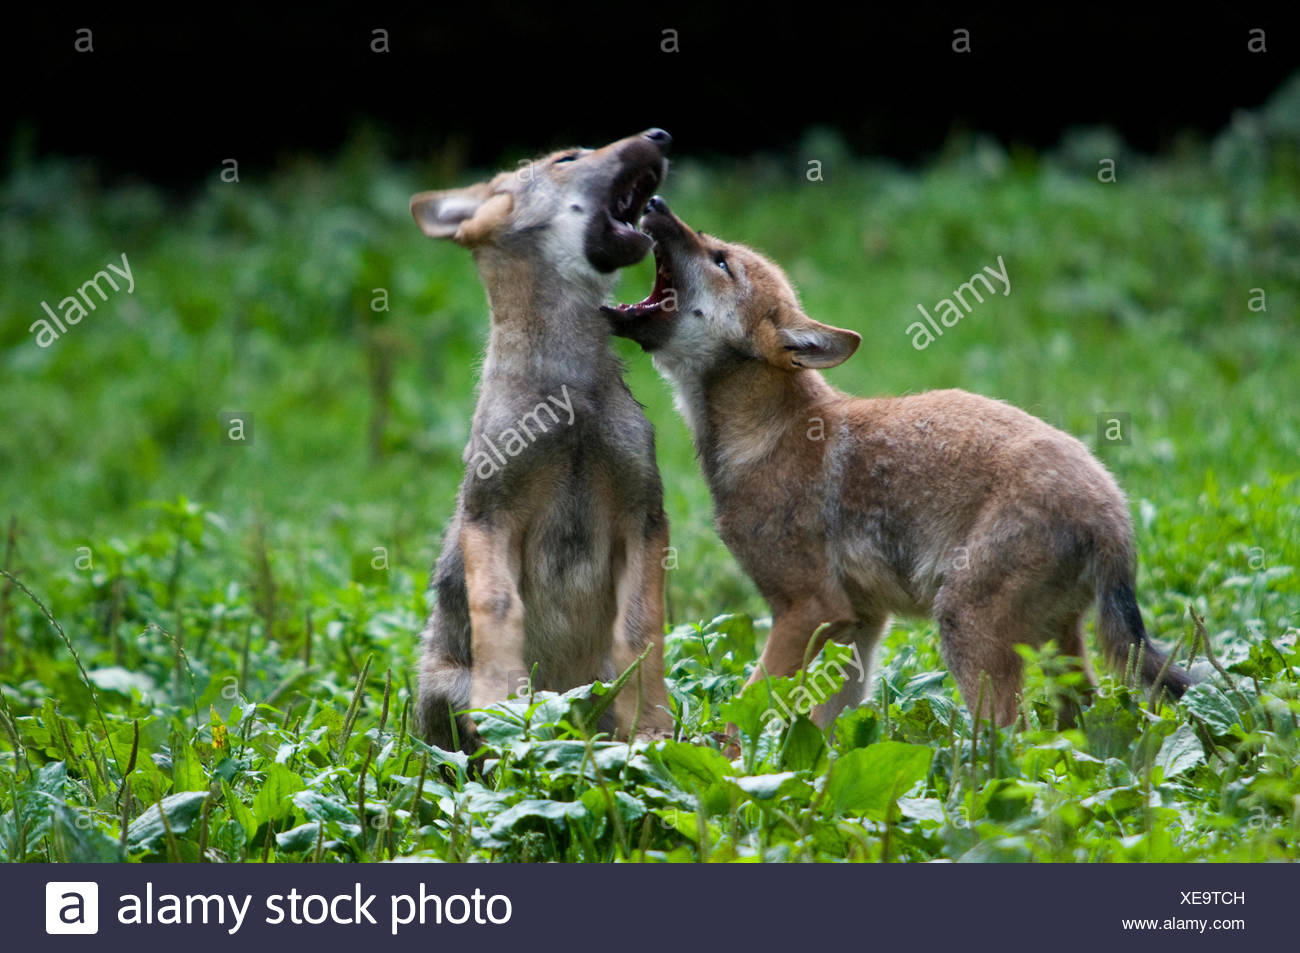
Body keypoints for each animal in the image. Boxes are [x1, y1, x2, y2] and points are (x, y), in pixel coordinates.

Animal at [409, 131, 676, 751]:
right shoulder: (490, 517)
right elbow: (498, 607)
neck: (567, 398)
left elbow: (640, 629)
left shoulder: (644, 515)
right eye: (568, 160)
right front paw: (502, 705)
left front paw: (653, 728)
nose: (659, 135)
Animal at [605, 196, 1193, 728]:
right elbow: (824, 736)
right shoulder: (857, 626)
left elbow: (742, 715)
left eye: (721, 259)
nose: (655, 201)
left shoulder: (808, 610)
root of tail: (1114, 510)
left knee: (1013, 742)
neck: (764, 436)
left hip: (966, 631)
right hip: (1057, 653)